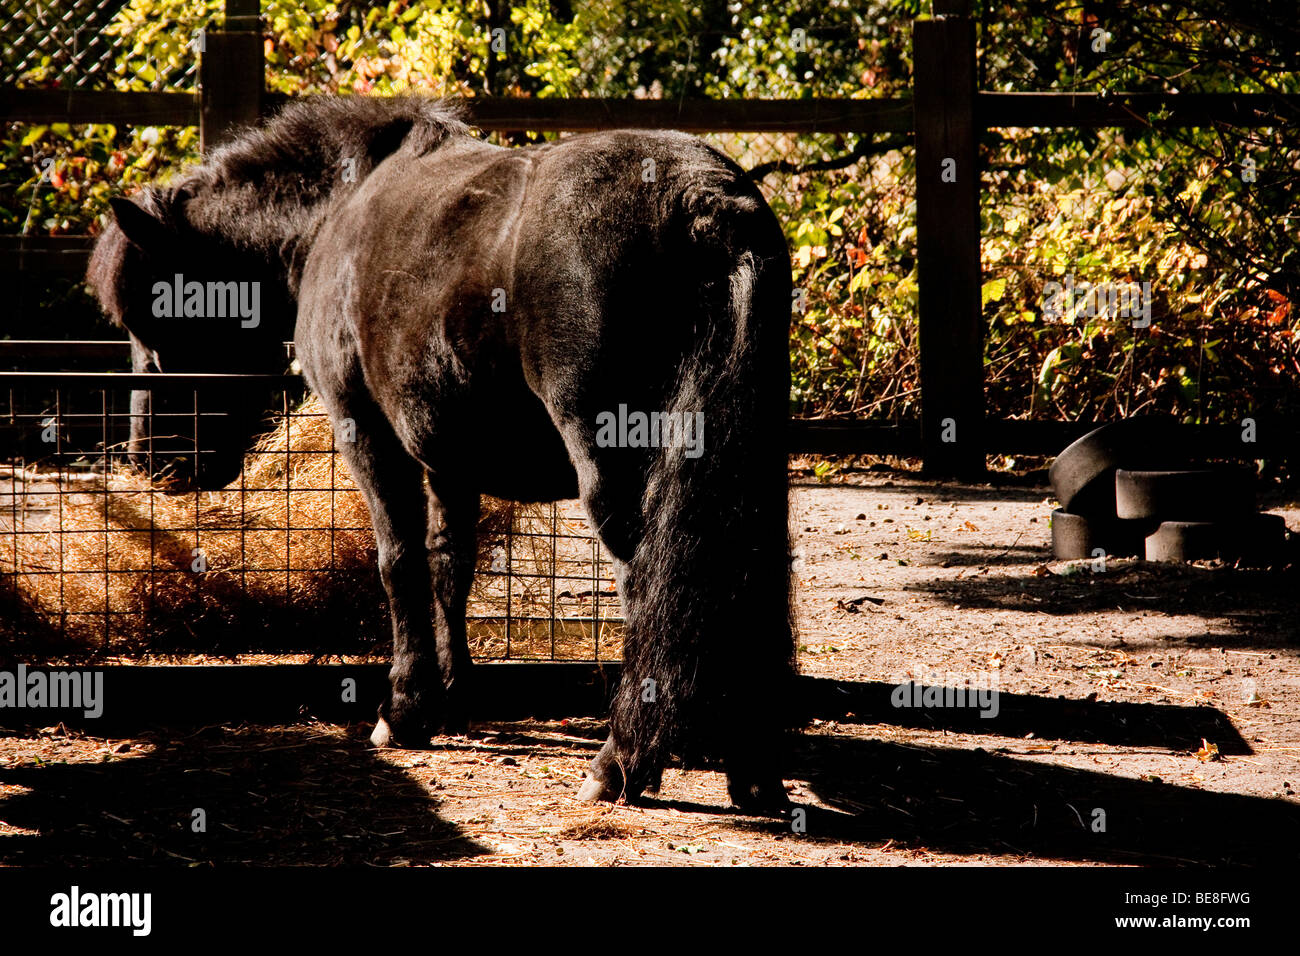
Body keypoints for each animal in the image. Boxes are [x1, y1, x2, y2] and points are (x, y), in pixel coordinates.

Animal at [87, 95, 797, 811]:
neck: (337, 209)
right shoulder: (448, 456)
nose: (150, 463)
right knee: (745, 574)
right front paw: (452, 698)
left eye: (159, 321)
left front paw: (403, 710)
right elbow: (450, 566)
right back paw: (748, 765)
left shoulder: (367, 434)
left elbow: (398, 563)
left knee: (646, 581)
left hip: (617, 469)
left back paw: (621, 760)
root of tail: (704, 200)